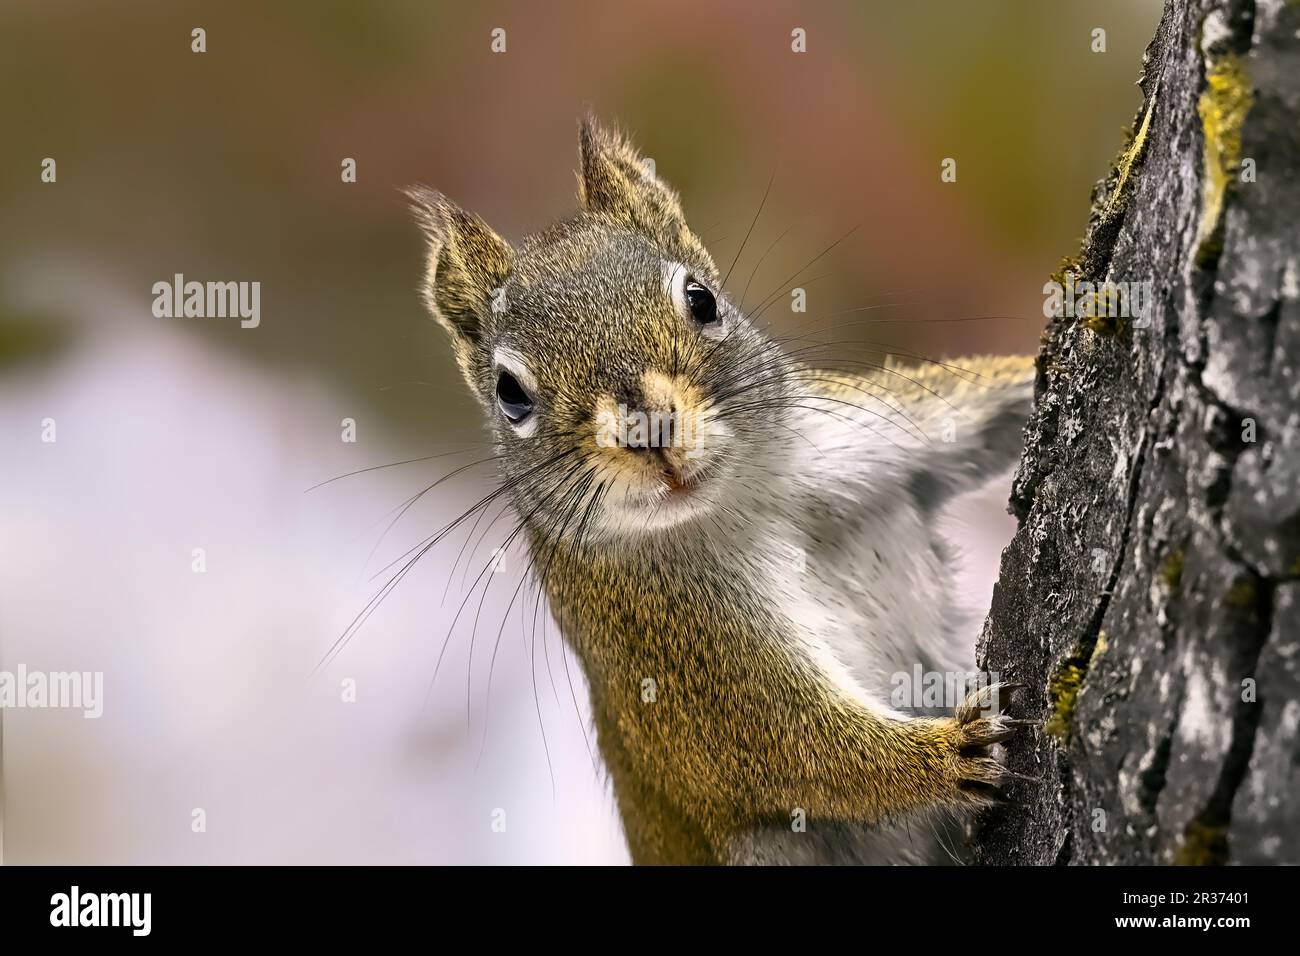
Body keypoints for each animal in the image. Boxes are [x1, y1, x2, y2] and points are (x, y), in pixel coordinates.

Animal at [408, 117, 1035, 865]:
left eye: (701, 298)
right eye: (510, 394)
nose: (648, 428)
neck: (743, 502)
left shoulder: (860, 435)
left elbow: (971, 419)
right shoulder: (677, 650)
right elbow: (797, 747)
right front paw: (948, 754)